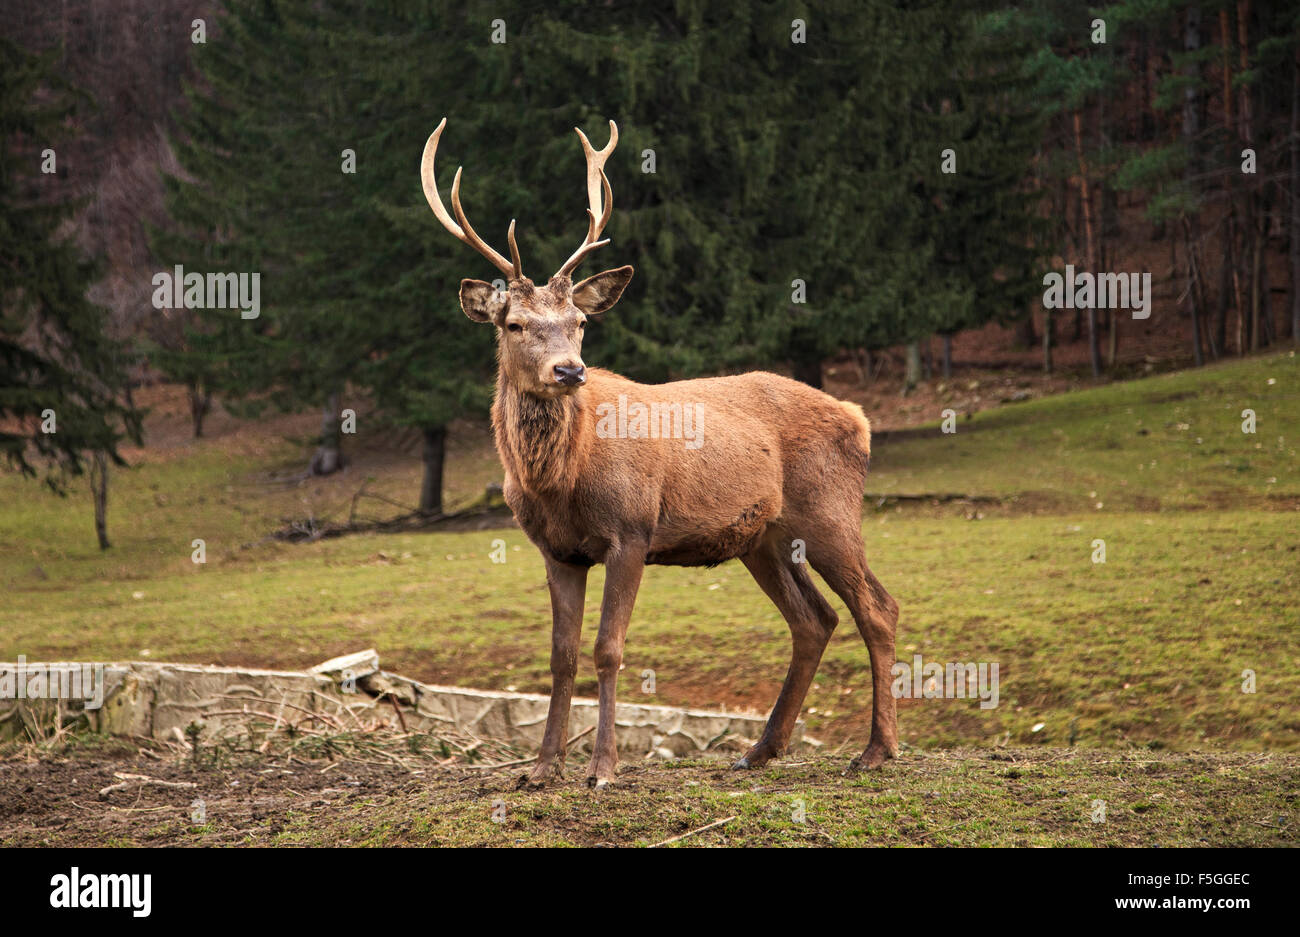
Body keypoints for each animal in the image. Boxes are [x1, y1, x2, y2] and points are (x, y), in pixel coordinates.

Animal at [420, 117, 899, 788]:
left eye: (579, 322)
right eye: (513, 324)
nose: (569, 370)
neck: (559, 479)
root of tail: (860, 417)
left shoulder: (632, 530)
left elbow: (607, 648)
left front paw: (602, 767)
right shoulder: (556, 550)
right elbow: (561, 656)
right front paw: (541, 768)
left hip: (830, 511)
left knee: (877, 607)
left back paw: (878, 749)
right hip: (763, 537)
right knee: (814, 619)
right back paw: (760, 749)